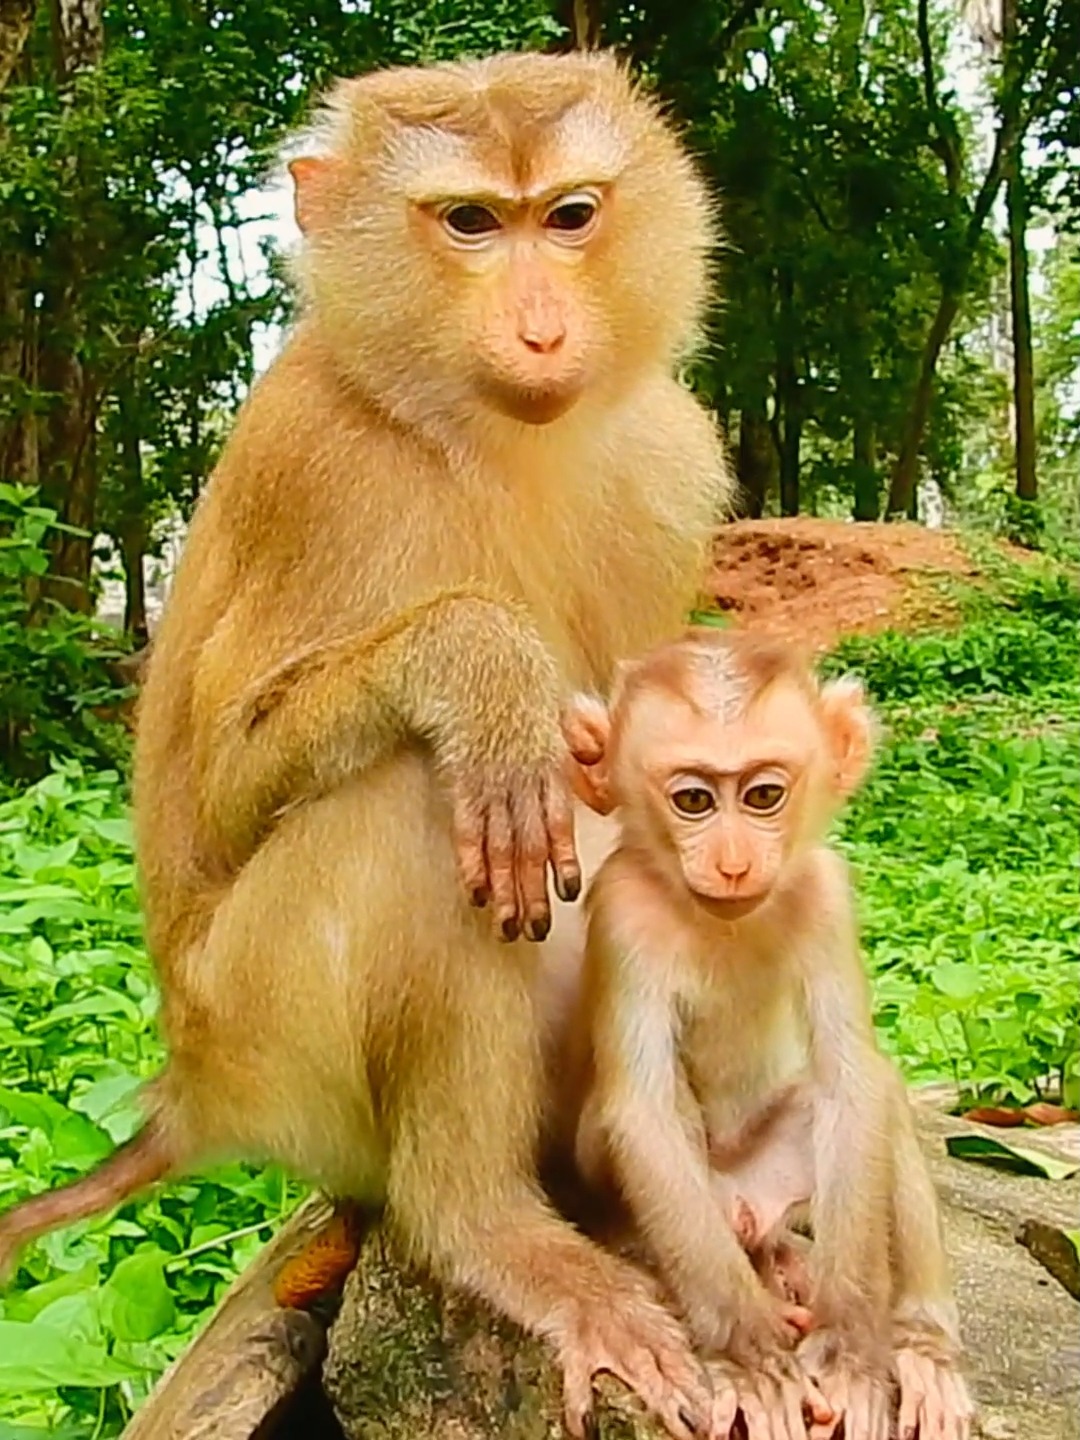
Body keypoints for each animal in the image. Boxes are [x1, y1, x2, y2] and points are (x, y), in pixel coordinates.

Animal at [0, 50, 734, 1440]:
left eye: (569, 215)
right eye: (470, 223)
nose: (543, 329)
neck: (476, 425)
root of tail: (192, 1087)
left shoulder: (669, 460)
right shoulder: (322, 471)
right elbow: (229, 779)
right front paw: (482, 669)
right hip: (268, 1036)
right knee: (412, 801)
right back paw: (485, 1224)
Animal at [558, 628, 974, 1440]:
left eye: (762, 796)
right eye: (693, 799)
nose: (732, 862)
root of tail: (750, 1207)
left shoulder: (829, 894)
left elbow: (851, 1080)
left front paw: (851, 1350)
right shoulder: (622, 911)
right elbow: (644, 1114)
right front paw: (749, 1359)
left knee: (876, 1094)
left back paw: (918, 1343)